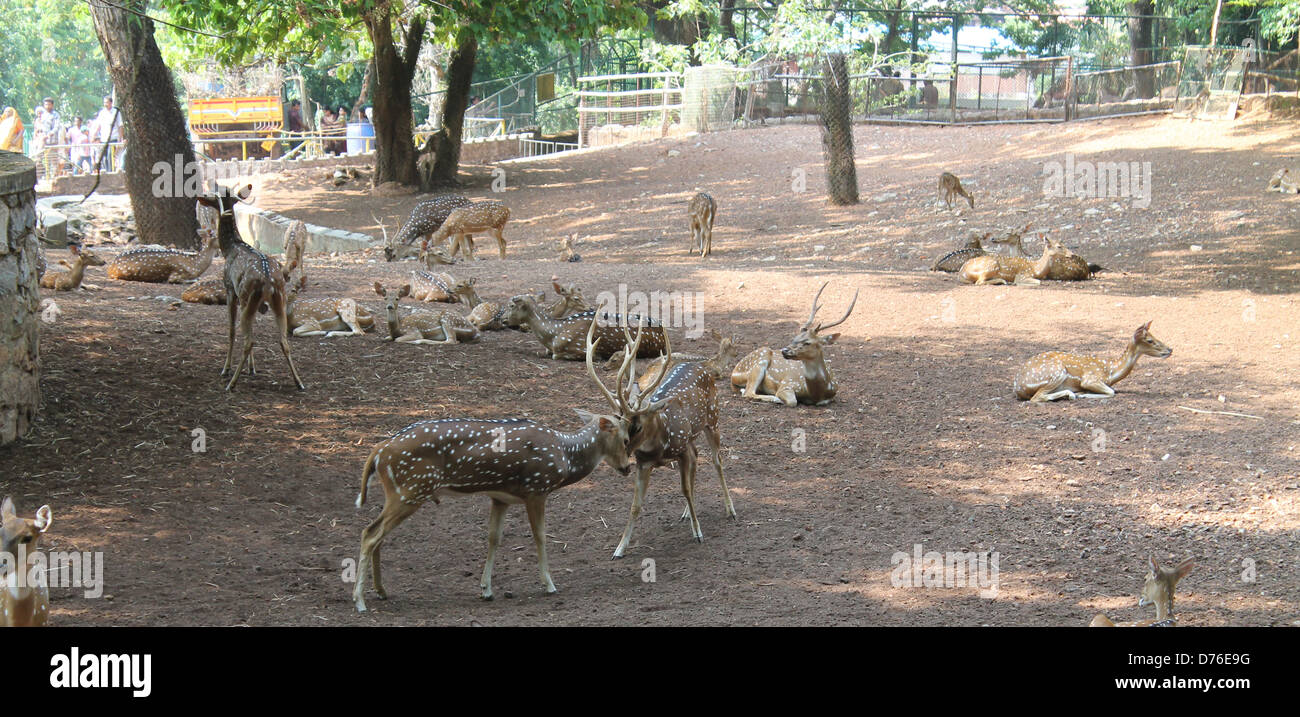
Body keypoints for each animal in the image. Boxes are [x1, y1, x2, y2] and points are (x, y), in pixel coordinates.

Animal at [196, 184, 305, 392]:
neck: (230, 247)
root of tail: (269, 281)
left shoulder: (230, 290)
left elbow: (231, 330)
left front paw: (227, 368)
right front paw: (252, 368)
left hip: (250, 295)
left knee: (248, 339)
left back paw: (231, 383)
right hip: (278, 299)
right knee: (283, 340)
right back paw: (299, 382)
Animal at [351, 326, 638, 610]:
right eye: (626, 439)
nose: (627, 468)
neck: (564, 456)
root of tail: (379, 451)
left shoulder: (500, 497)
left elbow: (494, 537)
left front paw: (486, 589)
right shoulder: (536, 489)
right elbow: (540, 535)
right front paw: (549, 585)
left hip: (401, 492)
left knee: (376, 533)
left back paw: (381, 591)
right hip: (410, 490)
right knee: (369, 534)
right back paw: (360, 600)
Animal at [504, 293, 666, 360]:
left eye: (511, 305)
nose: (502, 318)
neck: (554, 333)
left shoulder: (579, 347)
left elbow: (556, 355)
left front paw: (598, 356)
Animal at [591, 320, 736, 558]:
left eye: (637, 426)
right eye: (618, 425)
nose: (622, 460)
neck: (658, 445)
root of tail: (702, 368)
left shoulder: (681, 449)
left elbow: (685, 490)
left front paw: (698, 533)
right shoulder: (644, 463)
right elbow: (635, 505)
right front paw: (619, 548)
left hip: (713, 420)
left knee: (717, 461)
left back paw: (730, 510)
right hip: (693, 436)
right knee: (698, 456)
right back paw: (687, 512)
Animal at [1014, 321, 1172, 402]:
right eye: (1150, 340)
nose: (1170, 349)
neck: (1110, 371)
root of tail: (1018, 387)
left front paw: (1083, 393)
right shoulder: (1090, 378)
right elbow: (1111, 391)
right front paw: (1083, 394)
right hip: (1056, 372)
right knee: (1036, 397)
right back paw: (1072, 394)